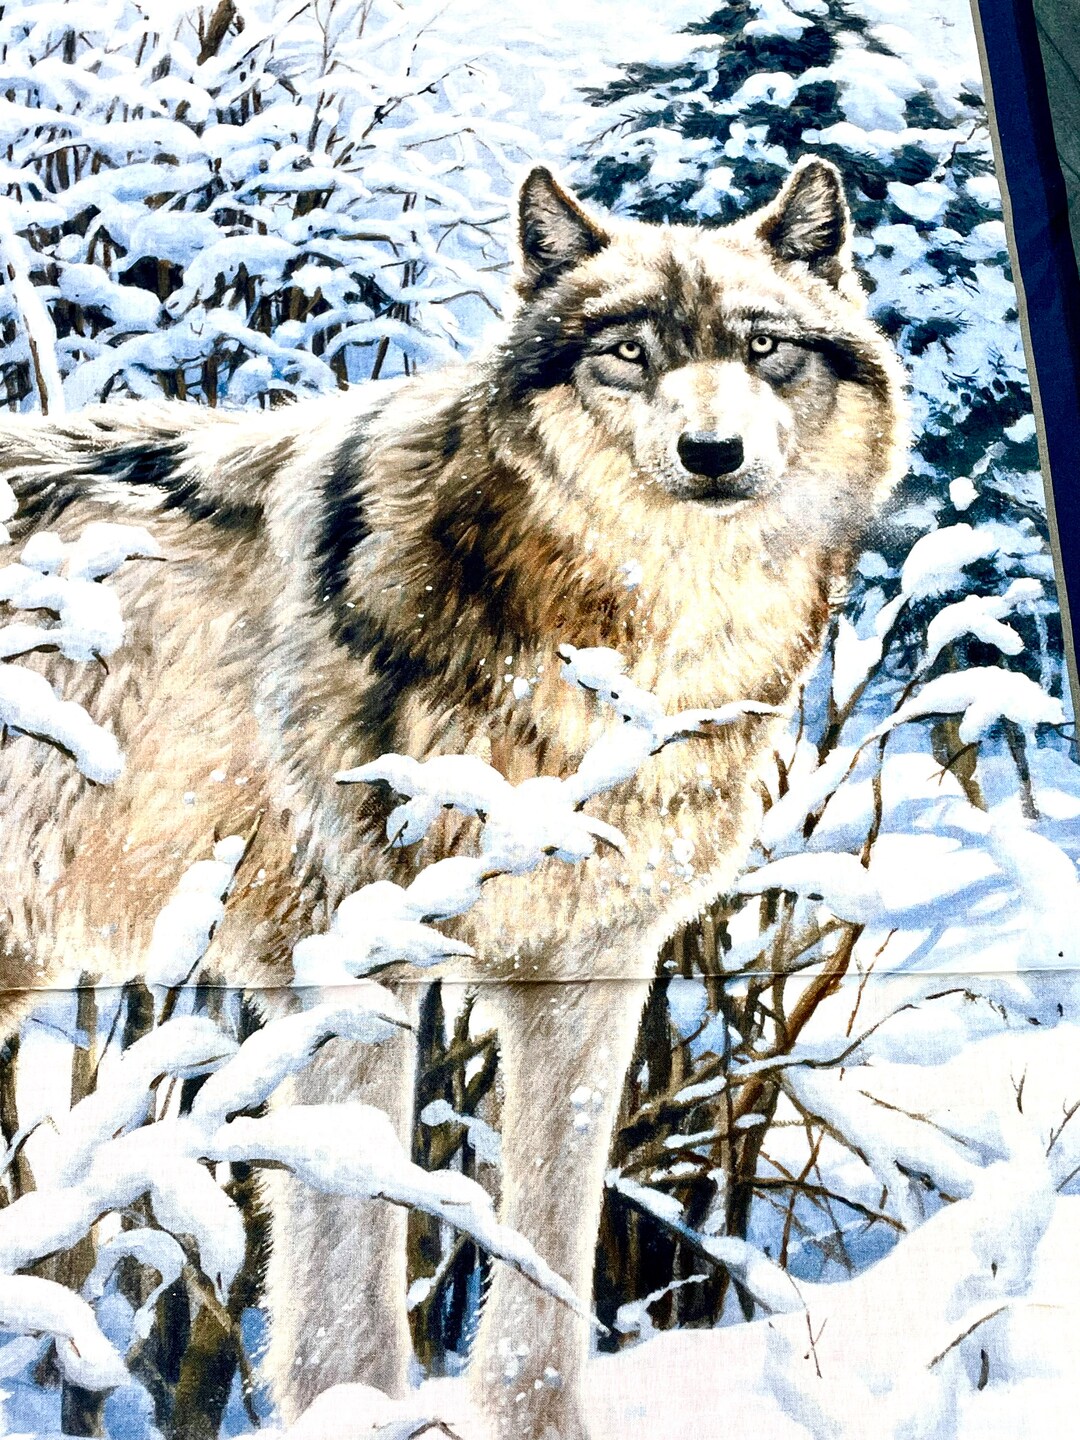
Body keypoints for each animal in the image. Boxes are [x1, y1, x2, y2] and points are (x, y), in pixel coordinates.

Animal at [0, 157, 905, 1439]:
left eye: (764, 345)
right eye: (629, 352)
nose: (713, 450)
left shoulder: (592, 968)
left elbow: (552, 1232)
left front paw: (534, 1423)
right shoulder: (349, 959)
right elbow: (348, 1233)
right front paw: (357, 1410)